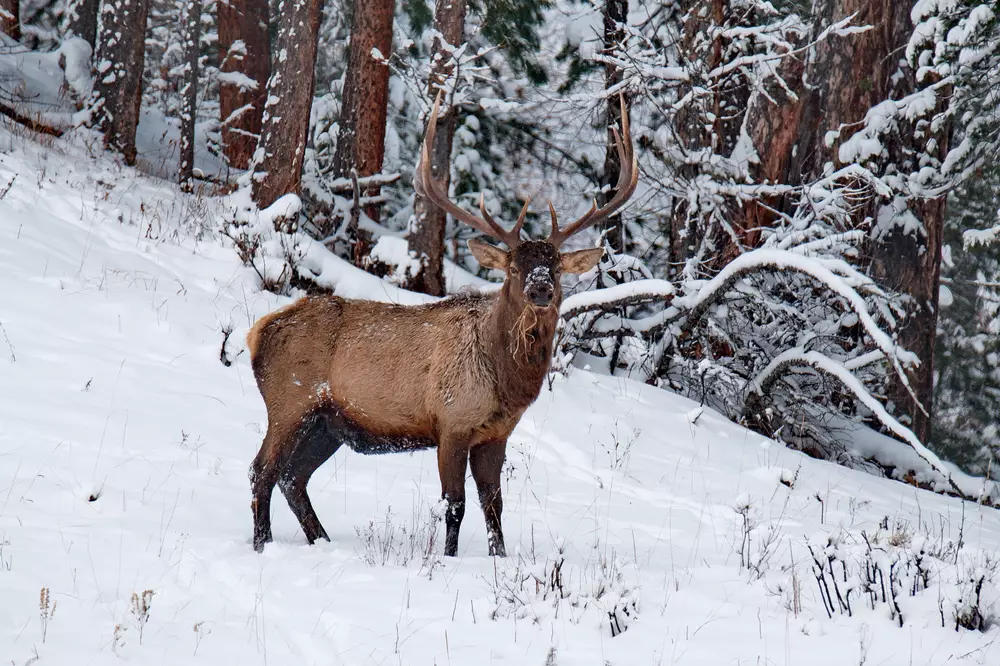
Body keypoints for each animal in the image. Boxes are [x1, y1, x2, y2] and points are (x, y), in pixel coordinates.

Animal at [250, 93, 640, 556]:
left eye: (557, 268)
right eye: (513, 268)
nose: (541, 289)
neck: (505, 381)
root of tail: (257, 333)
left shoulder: (496, 435)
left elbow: (494, 503)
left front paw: (498, 556)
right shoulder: (451, 422)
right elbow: (454, 504)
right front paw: (449, 557)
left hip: (327, 424)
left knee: (293, 477)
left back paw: (320, 541)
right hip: (288, 403)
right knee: (262, 470)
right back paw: (263, 543)